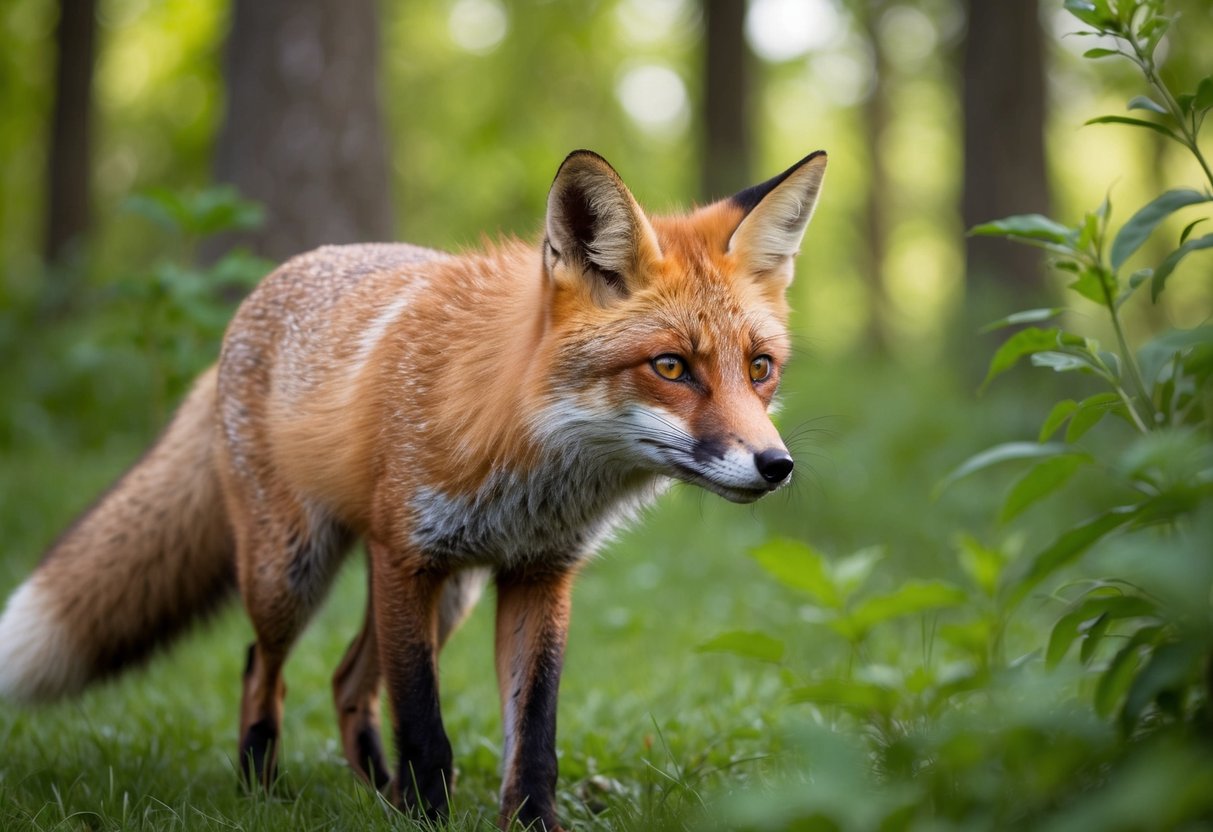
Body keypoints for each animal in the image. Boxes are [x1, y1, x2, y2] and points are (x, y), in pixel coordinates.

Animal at [0, 149, 826, 830]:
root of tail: (262, 295)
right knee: (261, 669)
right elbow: (425, 727)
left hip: (449, 595)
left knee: (347, 680)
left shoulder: (539, 573)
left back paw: (375, 794)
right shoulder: (408, 558)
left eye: (759, 368)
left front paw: (528, 824)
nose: (775, 464)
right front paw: (429, 815)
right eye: (670, 367)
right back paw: (262, 789)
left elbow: (533, 737)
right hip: (292, 570)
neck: (529, 461)